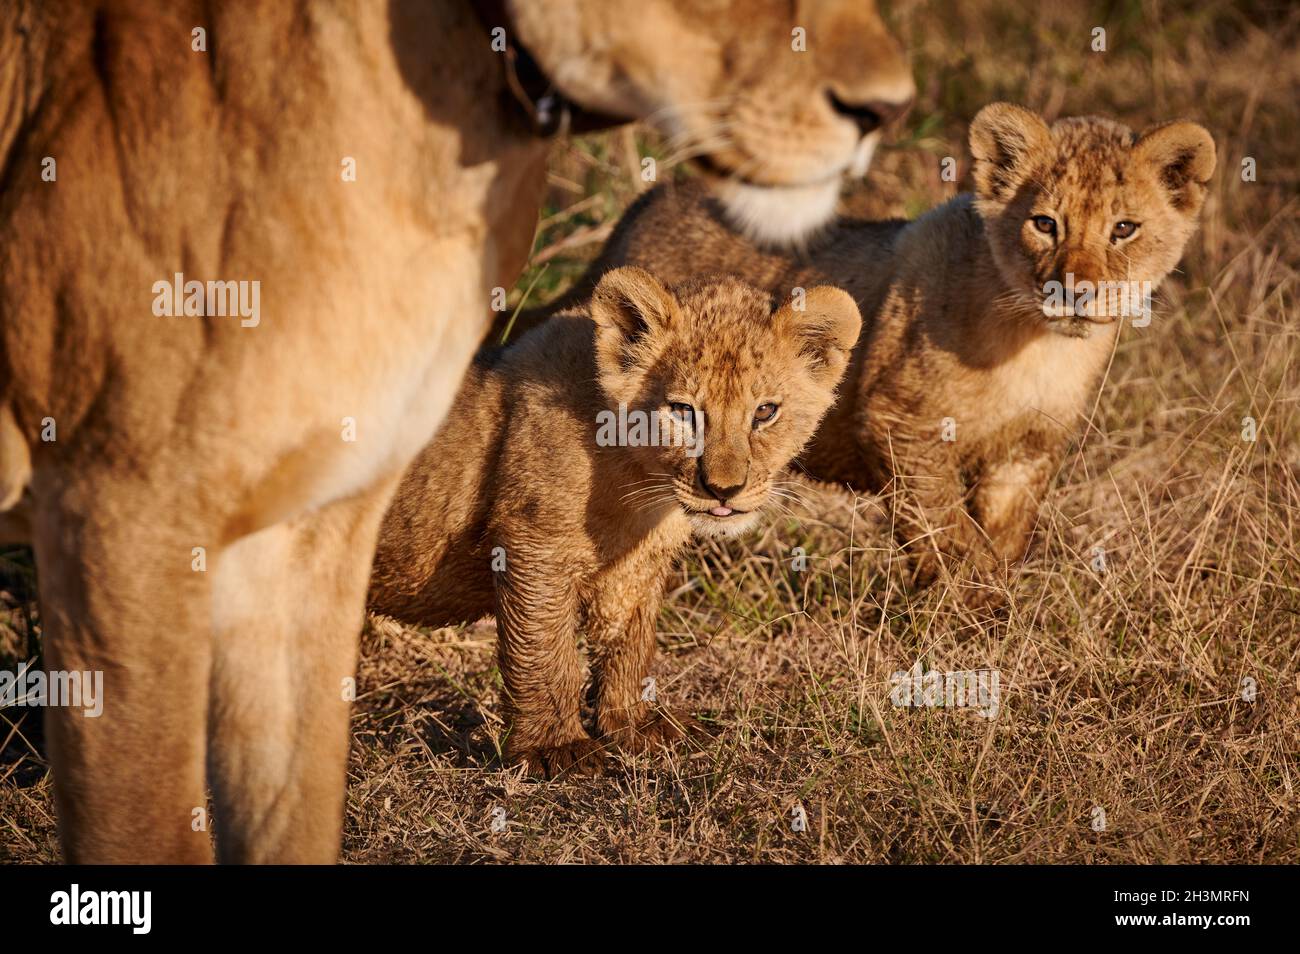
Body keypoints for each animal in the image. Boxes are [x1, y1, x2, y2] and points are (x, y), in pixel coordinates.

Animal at [369, 267, 860, 776]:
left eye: (765, 412)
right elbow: (543, 652)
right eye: (683, 411)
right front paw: (555, 747)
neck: (640, 480)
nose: (723, 490)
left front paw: (635, 723)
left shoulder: (638, 563)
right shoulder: (533, 545)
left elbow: (631, 646)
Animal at [535, 104, 1217, 585]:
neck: (1039, 347)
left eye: (1124, 228)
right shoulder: (899, 423)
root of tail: (654, 198)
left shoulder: (1027, 452)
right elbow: (950, 532)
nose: (1075, 291)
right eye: (1045, 223)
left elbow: (999, 538)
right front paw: (970, 611)